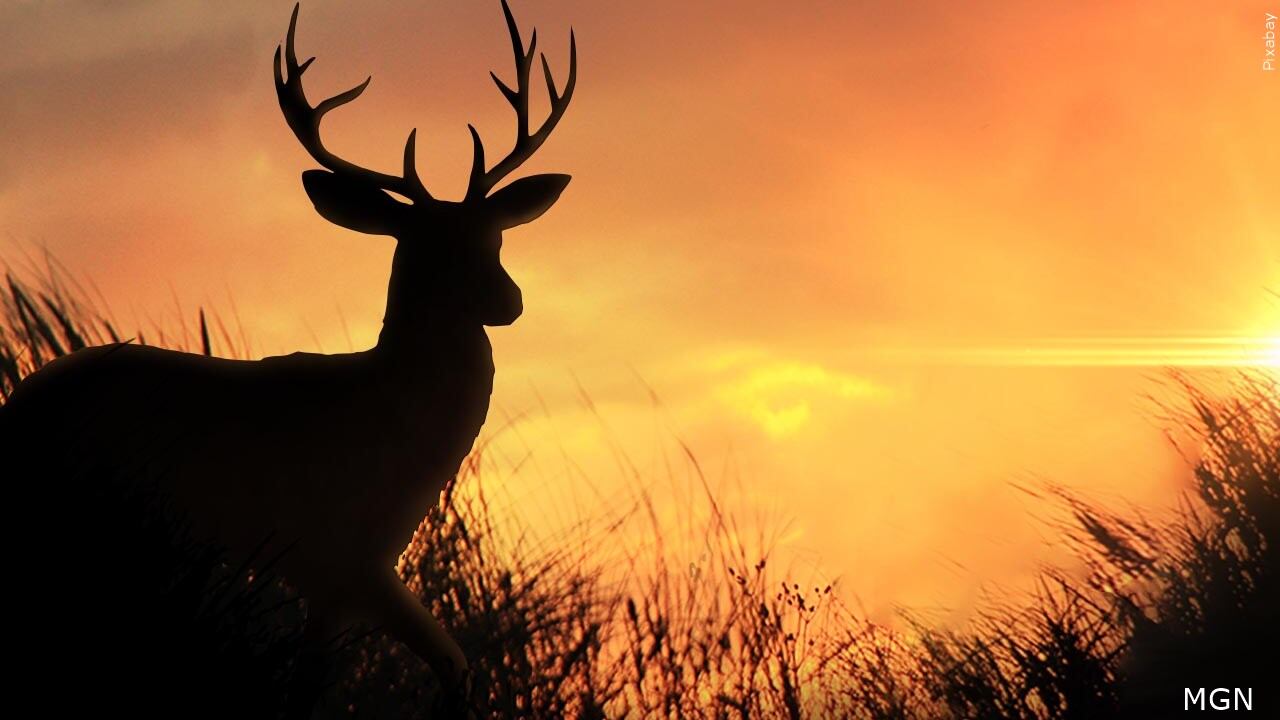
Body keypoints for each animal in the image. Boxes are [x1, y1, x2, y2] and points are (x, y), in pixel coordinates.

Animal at [0, 0, 575, 710]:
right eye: (426, 249)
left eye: (495, 237)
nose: (510, 299)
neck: (391, 427)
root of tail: (18, 405)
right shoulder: (341, 558)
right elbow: (387, 676)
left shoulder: (356, 568)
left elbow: (451, 666)